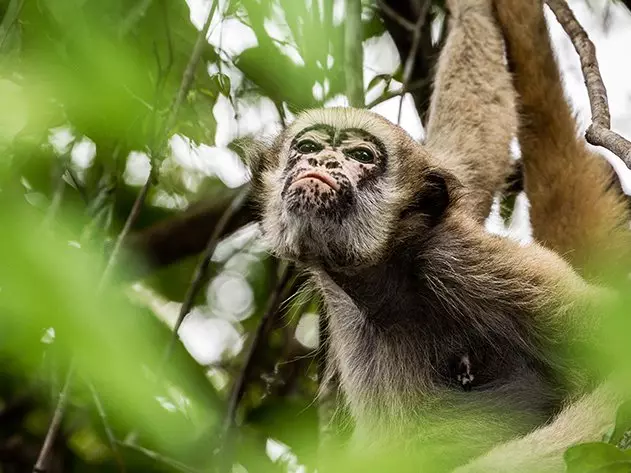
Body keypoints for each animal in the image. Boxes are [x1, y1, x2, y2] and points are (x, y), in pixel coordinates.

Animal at [251, 0, 631, 470]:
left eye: (362, 155)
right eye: (306, 148)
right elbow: (473, 146)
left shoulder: (464, 261)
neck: (390, 281)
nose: (322, 162)